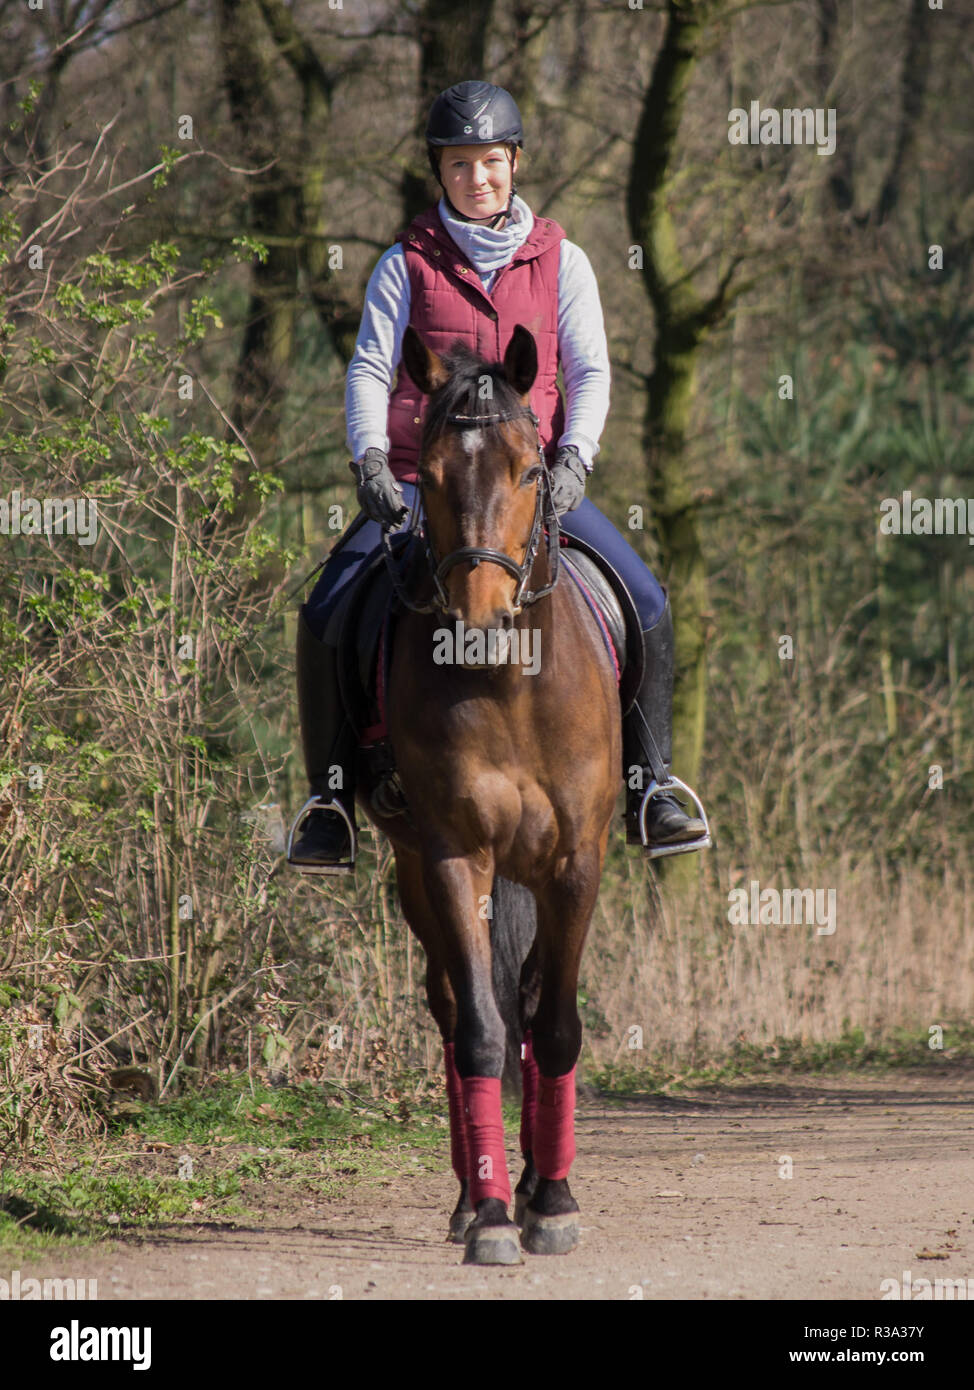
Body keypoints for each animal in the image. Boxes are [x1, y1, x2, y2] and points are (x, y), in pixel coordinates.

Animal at [355, 323, 621, 1264]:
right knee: (449, 1009)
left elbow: (557, 1025)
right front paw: (498, 1216)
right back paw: (476, 1199)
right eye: (427, 477)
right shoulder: (452, 856)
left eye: (533, 471)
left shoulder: (577, 863)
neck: (510, 684)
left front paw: (555, 1203)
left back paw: (540, 1179)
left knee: (538, 1004)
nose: (478, 626)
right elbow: (479, 1030)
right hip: (414, 873)